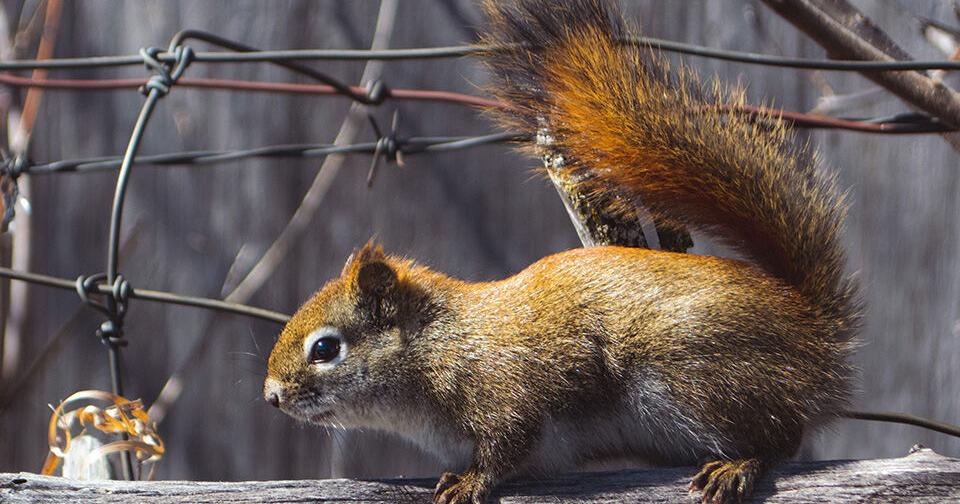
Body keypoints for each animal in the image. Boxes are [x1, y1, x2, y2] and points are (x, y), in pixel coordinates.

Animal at [263, 1, 860, 503]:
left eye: (325, 349)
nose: (272, 397)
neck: (438, 344)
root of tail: (811, 328)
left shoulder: (506, 390)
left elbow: (506, 445)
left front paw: (471, 481)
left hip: (703, 376)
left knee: (782, 437)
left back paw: (738, 465)